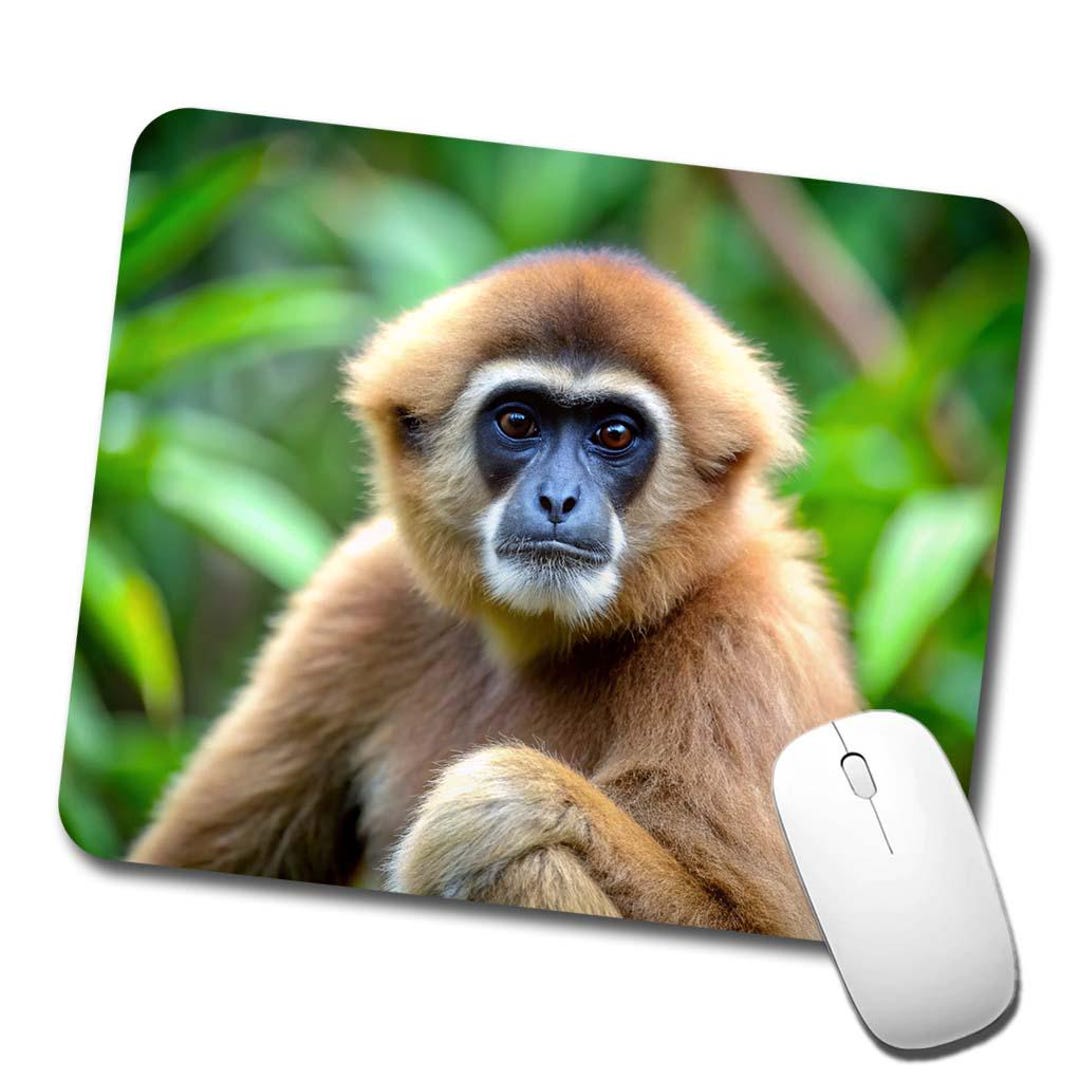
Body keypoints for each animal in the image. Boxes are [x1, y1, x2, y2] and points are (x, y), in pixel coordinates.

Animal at [129, 247, 860, 939]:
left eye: (614, 434)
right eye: (517, 422)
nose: (558, 497)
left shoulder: (745, 640)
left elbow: (754, 921)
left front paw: (494, 805)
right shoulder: (357, 594)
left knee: (522, 863)